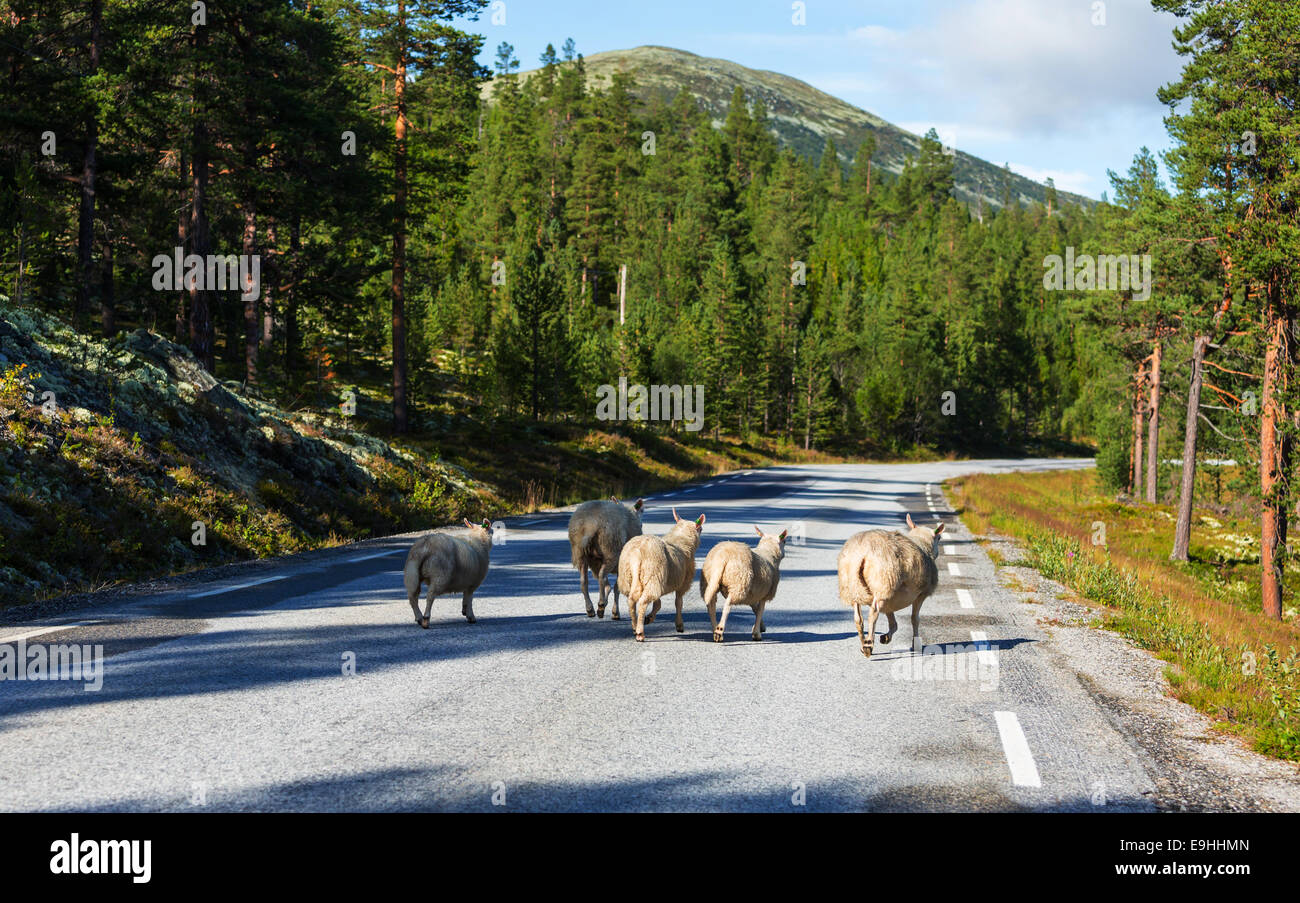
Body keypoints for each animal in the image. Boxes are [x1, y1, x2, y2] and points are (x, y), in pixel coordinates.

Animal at [617, 508, 705, 642]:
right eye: (701, 529)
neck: (681, 540)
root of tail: (637, 553)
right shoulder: (682, 583)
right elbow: (678, 603)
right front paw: (679, 625)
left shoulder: (660, 582)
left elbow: (658, 603)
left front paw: (649, 618)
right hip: (652, 574)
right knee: (642, 602)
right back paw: (640, 633)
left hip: (632, 578)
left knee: (632, 600)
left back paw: (634, 626)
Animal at [837, 513, 944, 658]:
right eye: (939, 538)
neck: (921, 543)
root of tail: (861, 553)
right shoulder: (921, 594)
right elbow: (914, 619)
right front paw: (915, 644)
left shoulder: (891, 597)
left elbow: (893, 622)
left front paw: (886, 637)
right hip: (882, 582)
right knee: (873, 613)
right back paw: (868, 646)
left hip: (854, 586)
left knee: (858, 618)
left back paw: (863, 643)